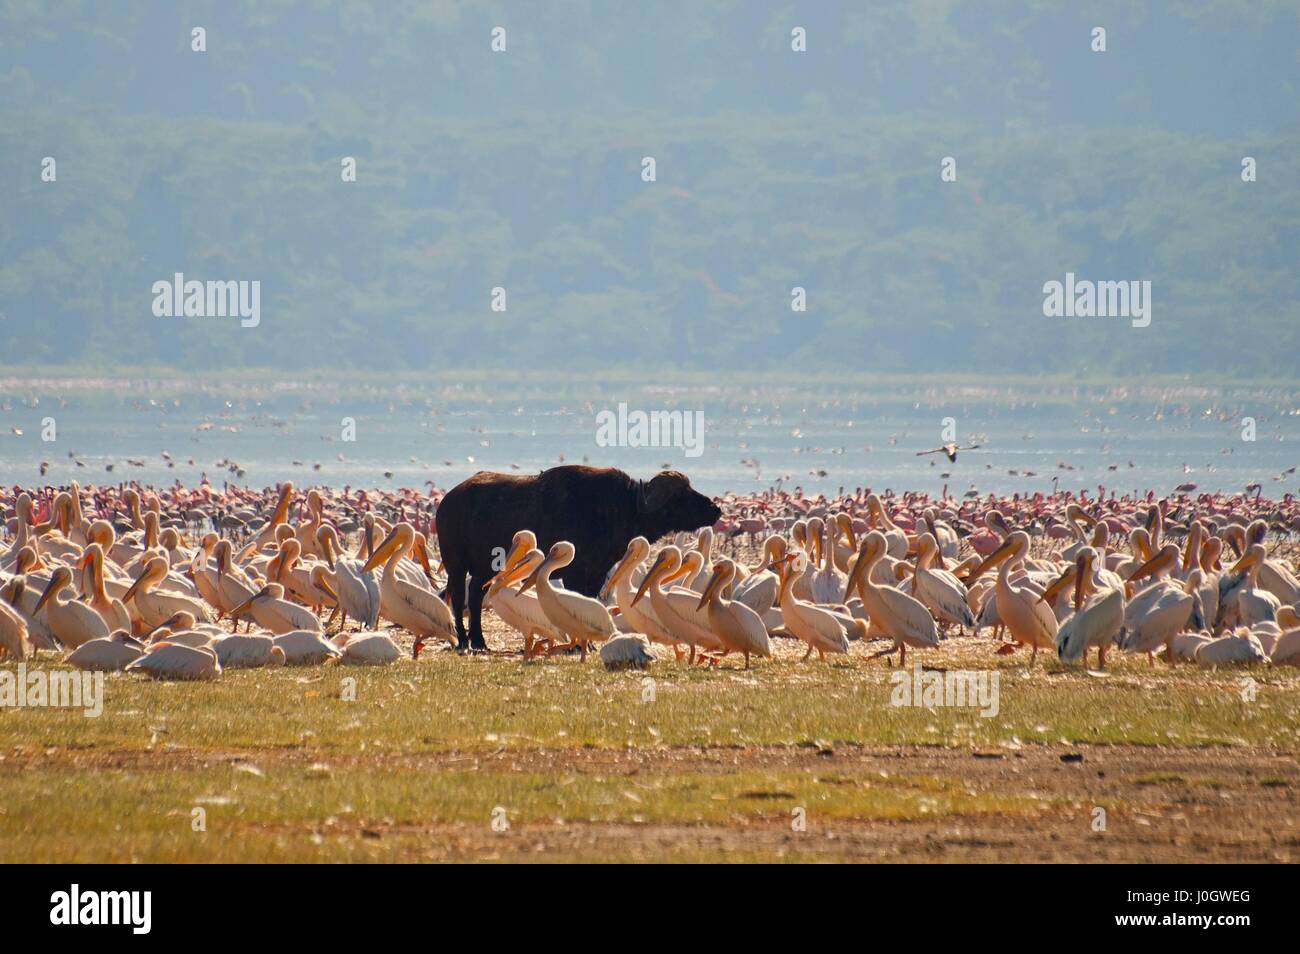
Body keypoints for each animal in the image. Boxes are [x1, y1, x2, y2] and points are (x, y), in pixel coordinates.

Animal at [435, 465, 721, 650]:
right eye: (681, 495)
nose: (715, 509)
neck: (620, 508)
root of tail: (447, 501)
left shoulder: (596, 574)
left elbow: (589, 602)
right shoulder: (576, 574)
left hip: (484, 569)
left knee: (475, 595)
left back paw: (479, 641)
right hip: (456, 563)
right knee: (458, 596)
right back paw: (463, 641)